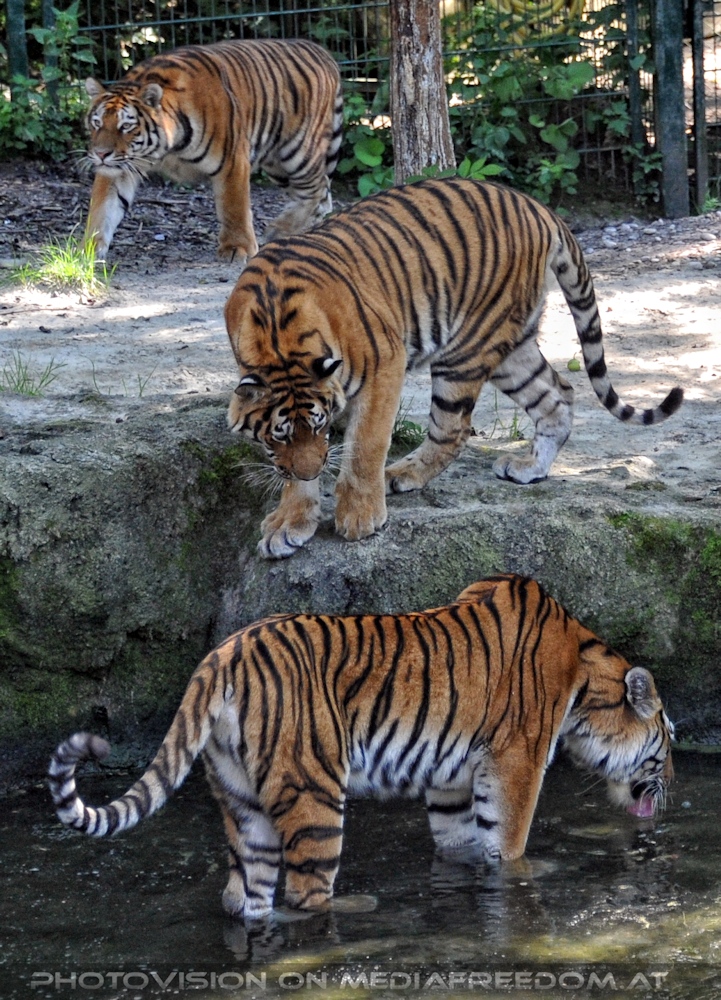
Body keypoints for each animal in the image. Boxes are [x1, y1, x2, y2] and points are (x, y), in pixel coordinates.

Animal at [49, 573, 673, 919]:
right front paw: (530, 872)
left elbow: (461, 841)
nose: (669, 787)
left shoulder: (452, 779)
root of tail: (222, 653)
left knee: (244, 896)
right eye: (668, 742)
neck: (584, 680)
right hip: (314, 793)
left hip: (240, 799)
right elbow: (511, 846)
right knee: (305, 892)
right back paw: (353, 909)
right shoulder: (515, 763)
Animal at [81, 38, 343, 262]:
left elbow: (234, 208)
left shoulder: (232, 161)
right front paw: (88, 251)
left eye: (126, 126)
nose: (101, 154)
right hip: (277, 166)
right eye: (97, 123)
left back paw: (279, 230)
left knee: (318, 190)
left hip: (297, 153)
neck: (166, 149)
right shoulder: (119, 168)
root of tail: (323, 53)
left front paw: (238, 249)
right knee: (324, 197)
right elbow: (103, 209)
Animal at [224, 177, 684, 559]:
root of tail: (540, 208)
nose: (316, 469)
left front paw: (359, 517)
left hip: (466, 348)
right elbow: (295, 470)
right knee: (558, 394)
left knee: (453, 429)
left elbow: (365, 446)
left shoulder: (385, 363)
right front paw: (291, 522)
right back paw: (530, 470)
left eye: (319, 425)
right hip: (510, 348)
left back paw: (402, 474)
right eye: (279, 435)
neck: (277, 343)